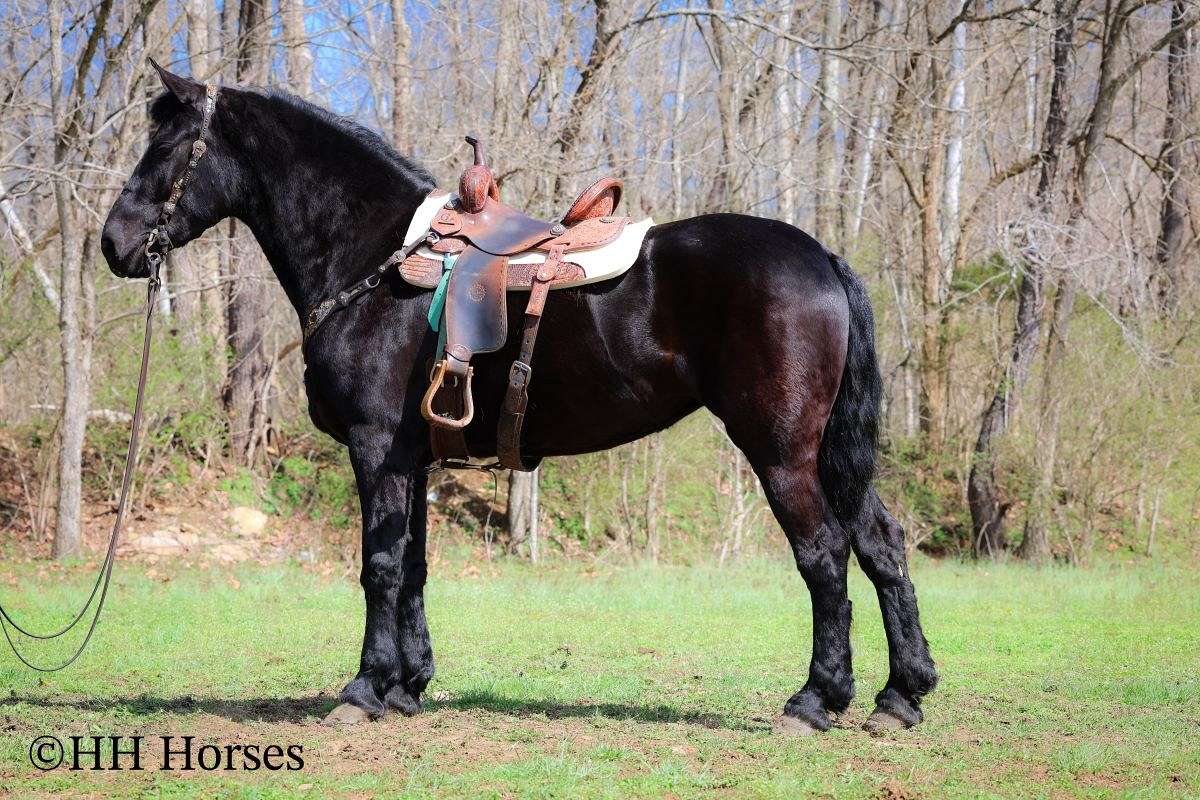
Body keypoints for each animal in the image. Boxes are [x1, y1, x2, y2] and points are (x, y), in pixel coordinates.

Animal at [101, 66, 937, 734]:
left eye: (166, 147)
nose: (113, 244)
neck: (377, 260)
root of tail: (820, 256)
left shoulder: (375, 448)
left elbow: (379, 565)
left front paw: (364, 690)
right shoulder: (413, 459)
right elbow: (414, 564)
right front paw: (408, 686)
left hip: (782, 449)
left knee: (823, 554)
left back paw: (816, 700)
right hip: (827, 453)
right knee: (881, 544)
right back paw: (900, 696)